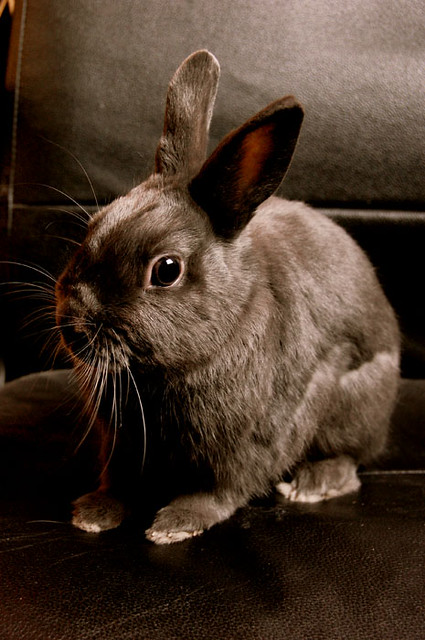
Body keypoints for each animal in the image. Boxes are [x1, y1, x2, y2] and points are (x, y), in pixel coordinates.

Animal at [55, 50, 400, 544]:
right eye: (94, 225)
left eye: (167, 270)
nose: (73, 324)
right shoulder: (122, 444)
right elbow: (118, 480)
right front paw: (93, 514)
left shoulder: (250, 441)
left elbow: (220, 490)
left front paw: (175, 525)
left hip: (357, 404)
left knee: (351, 460)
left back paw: (315, 483)